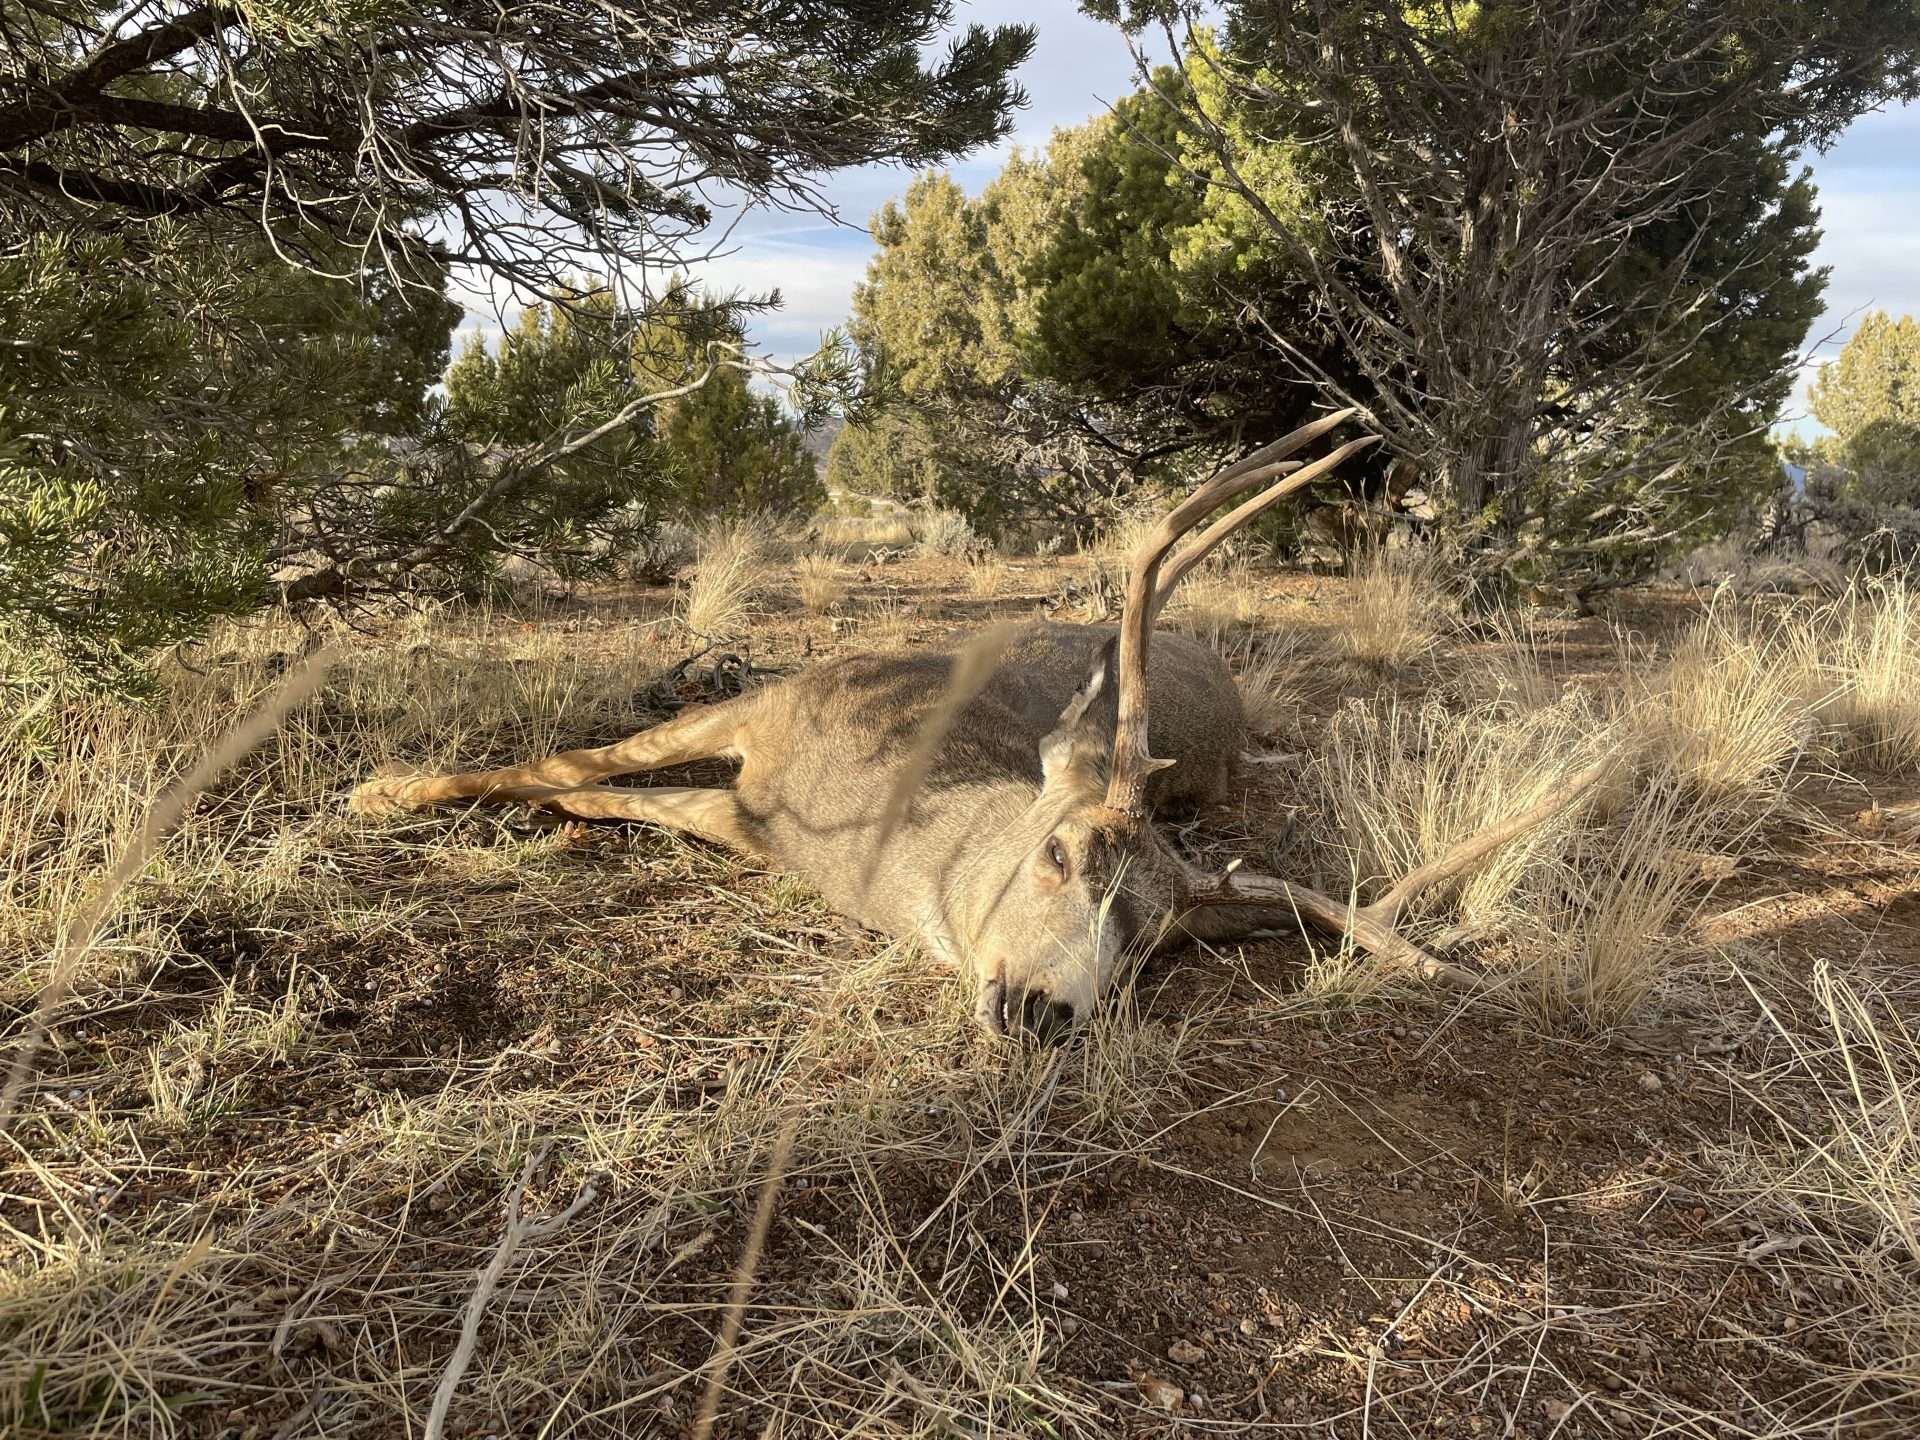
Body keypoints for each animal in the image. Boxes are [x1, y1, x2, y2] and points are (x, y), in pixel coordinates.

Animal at [350, 411, 1605, 1039]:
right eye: (1056, 852)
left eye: (1154, 941)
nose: (1046, 1010)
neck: (887, 824)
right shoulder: (767, 710)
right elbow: (570, 759)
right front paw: (383, 790)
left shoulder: (759, 826)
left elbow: (596, 787)